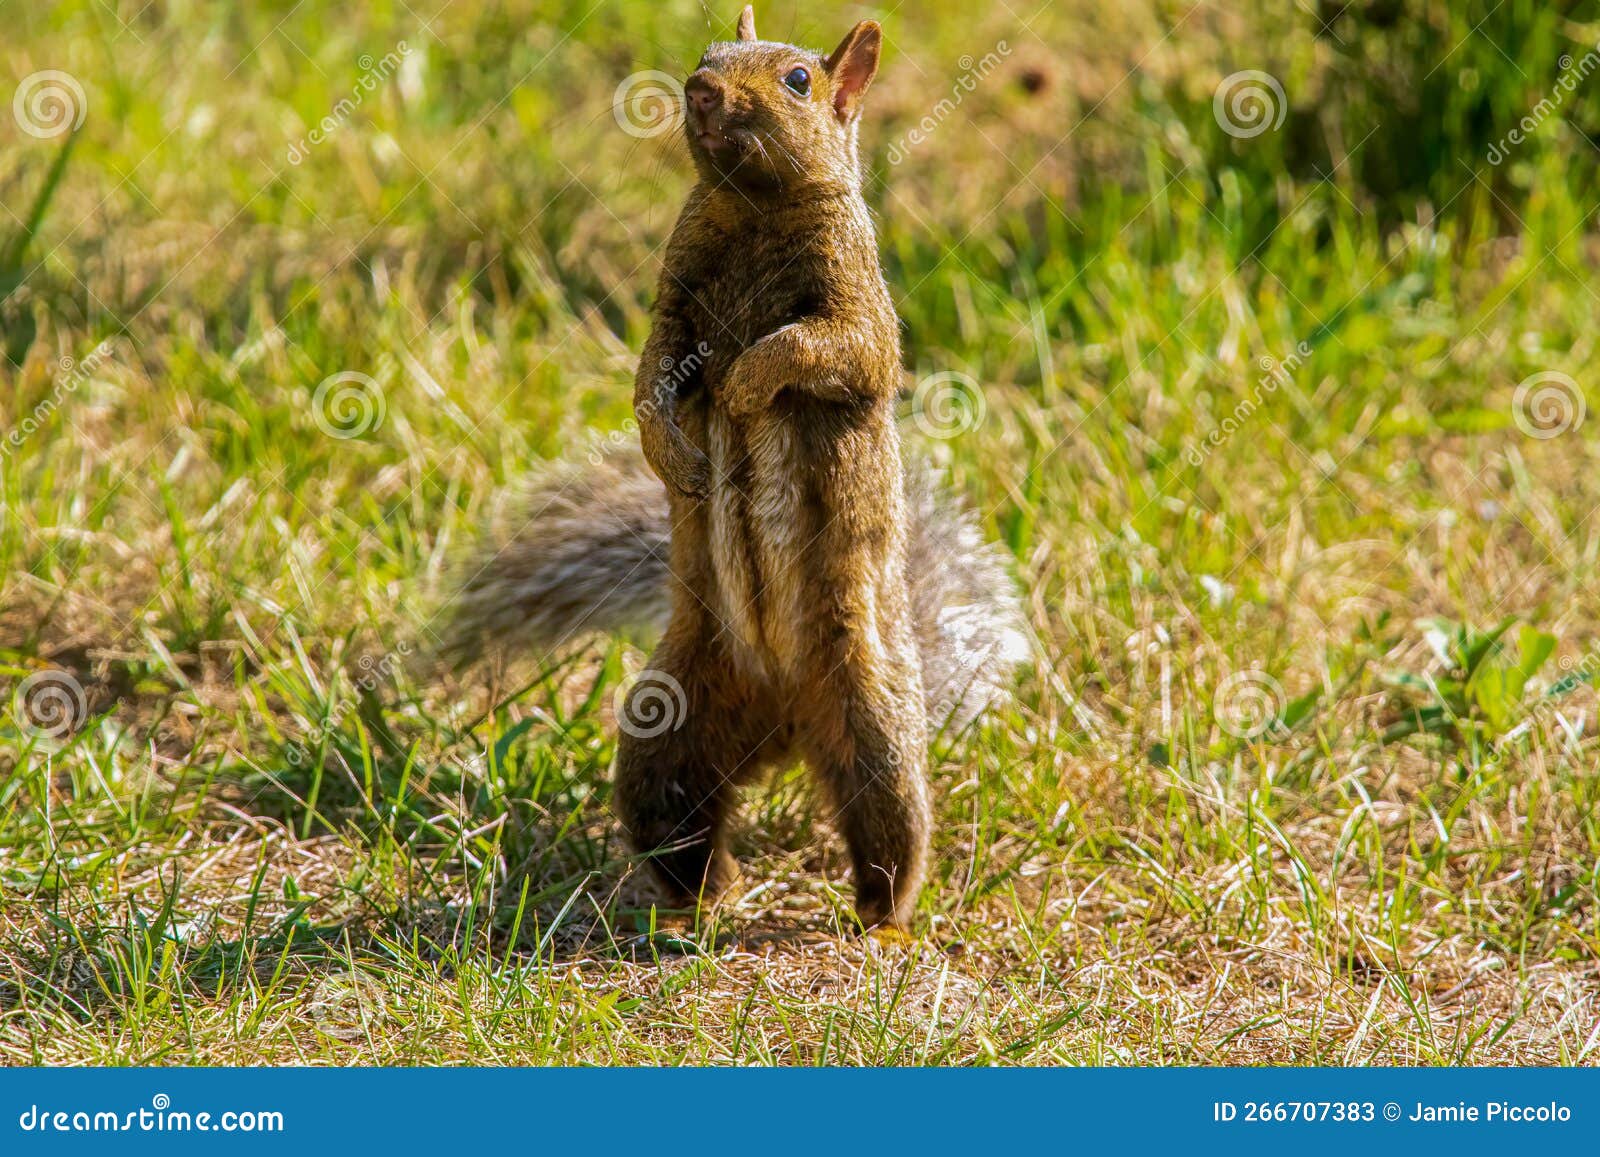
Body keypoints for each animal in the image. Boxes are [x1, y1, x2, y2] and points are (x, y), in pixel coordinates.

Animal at [442, 6, 1026, 930]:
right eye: (707, 52)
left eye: (800, 80)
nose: (701, 89)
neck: (752, 206)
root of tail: (784, 723)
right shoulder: (675, 293)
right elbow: (652, 372)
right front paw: (671, 446)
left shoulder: (856, 305)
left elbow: (820, 346)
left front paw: (747, 385)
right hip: (666, 727)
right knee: (679, 819)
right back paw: (698, 901)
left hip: (873, 726)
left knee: (889, 830)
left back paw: (882, 920)